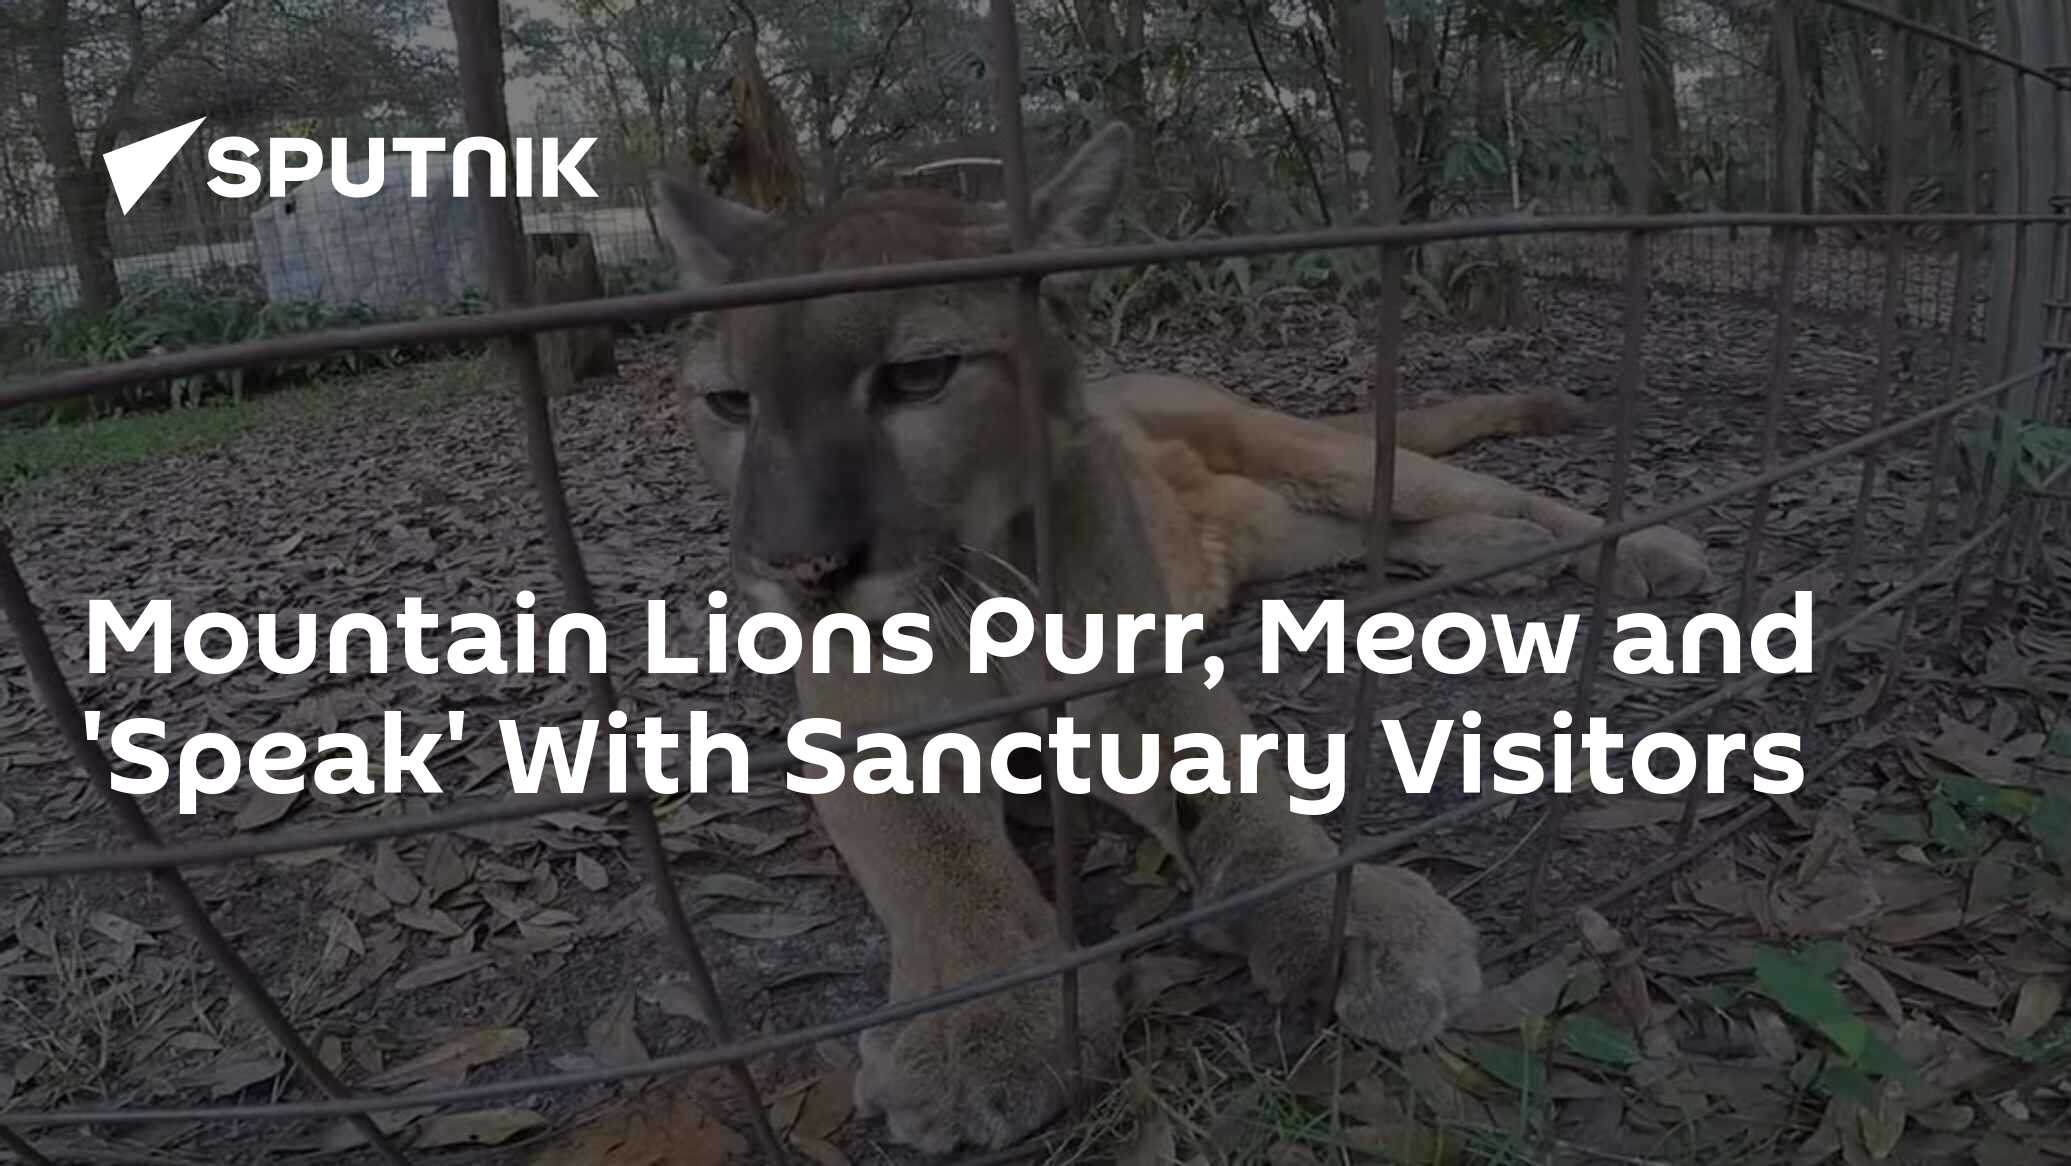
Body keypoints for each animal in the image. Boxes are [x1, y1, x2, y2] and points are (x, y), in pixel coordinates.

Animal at [647, 121, 1712, 1155]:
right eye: (730, 403)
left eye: (918, 377)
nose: (799, 565)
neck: (984, 586)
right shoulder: (875, 729)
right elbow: (937, 864)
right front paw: (979, 1028)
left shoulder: (1140, 676)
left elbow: (1237, 787)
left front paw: (1346, 918)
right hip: (1285, 529)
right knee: (1380, 535)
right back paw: (1500, 555)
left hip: (1312, 455)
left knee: (1487, 492)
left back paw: (1635, 546)